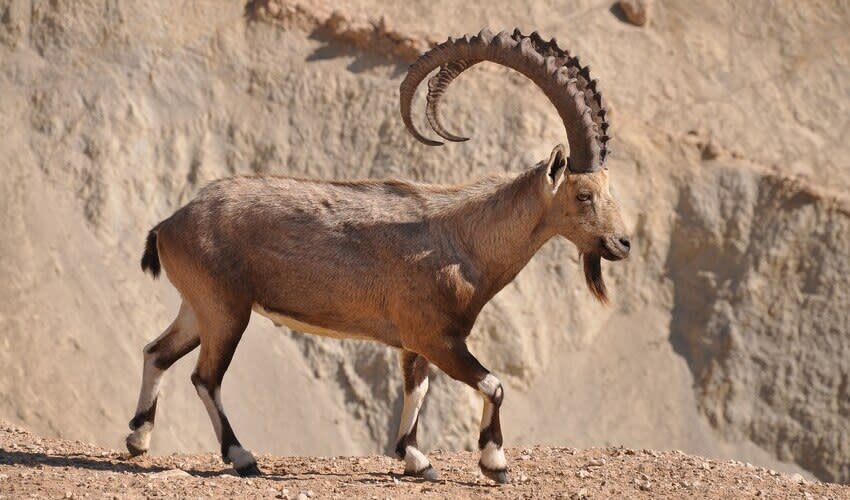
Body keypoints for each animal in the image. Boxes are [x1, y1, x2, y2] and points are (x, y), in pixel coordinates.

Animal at [126, 29, 630, 484]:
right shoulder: (438, 338)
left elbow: (416, 389)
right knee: (204, 377)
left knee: (157, 352)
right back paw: (242, 456)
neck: (465, 238)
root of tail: (170, 224)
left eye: (609, 187)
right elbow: (495, 385)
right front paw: (494, 464)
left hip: (198, 307)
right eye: (583, 194)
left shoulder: (414, 343)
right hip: (226, 310)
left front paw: (416, 460)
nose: (622, 243)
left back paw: (138, 439)